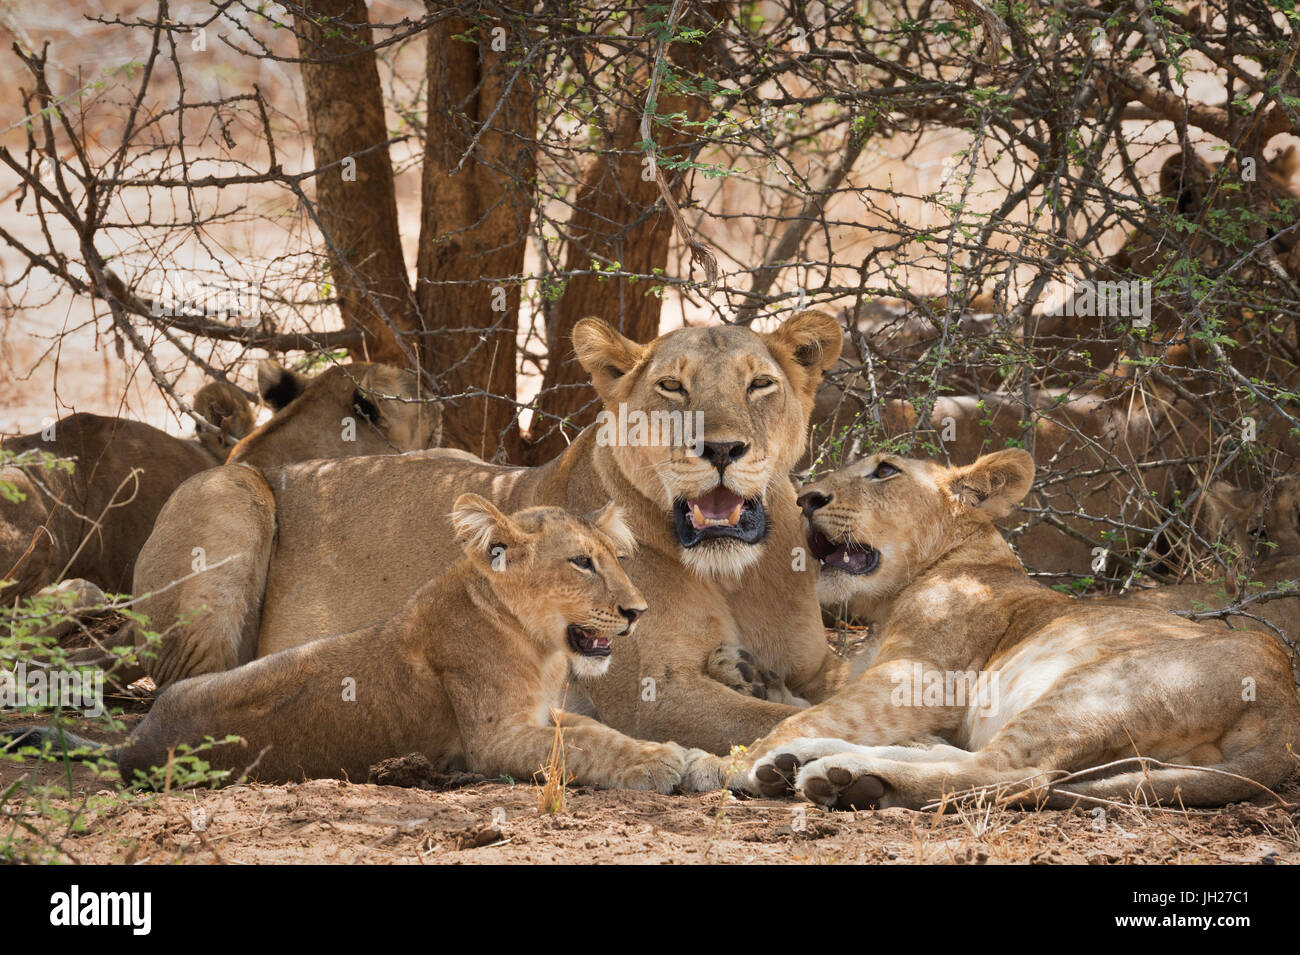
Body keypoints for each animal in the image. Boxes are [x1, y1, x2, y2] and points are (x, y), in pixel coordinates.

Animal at [130, 312, 847, 753]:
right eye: (672, 387)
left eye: (761, 384)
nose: (721, 448)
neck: (734, 574)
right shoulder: (652, 694)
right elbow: (789, 718)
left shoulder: (816, 662)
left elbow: (834, 687)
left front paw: (752, 675)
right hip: (231, 494)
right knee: (189, 681)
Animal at [689, 449, 1300, 808]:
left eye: (885, 471)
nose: (805, 499)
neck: (887, 605)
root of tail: (1284, 710)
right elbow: (816, 693)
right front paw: (742, 672)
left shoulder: (919, 676)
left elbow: (818, 708)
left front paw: (727, 761)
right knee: (969, 757)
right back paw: (808, 761)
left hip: (1095, 688)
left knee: (1011, 774)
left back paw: (839, 775)